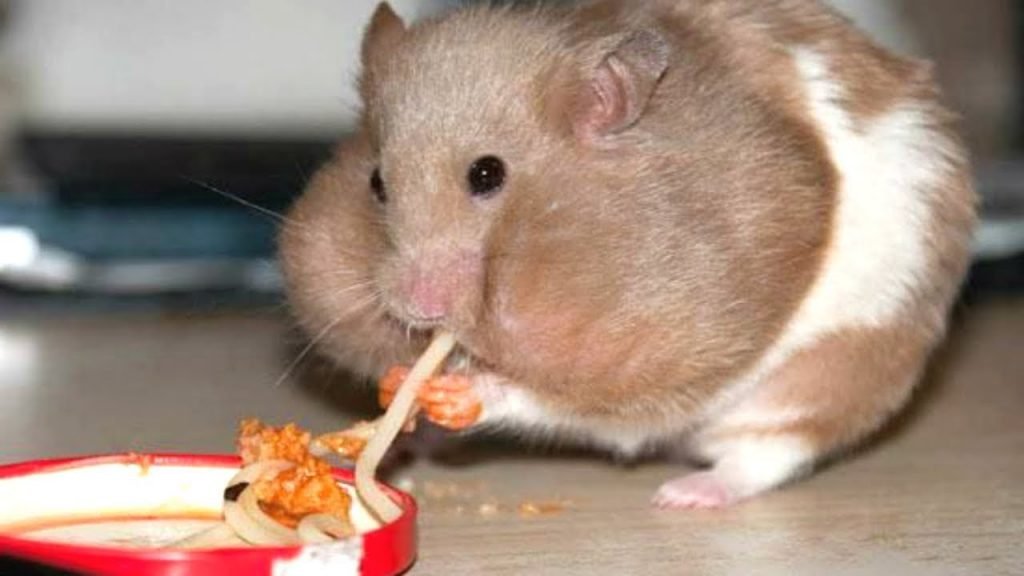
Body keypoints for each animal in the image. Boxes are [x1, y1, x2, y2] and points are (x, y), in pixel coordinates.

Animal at [280, 0, 976, 509]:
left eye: (487, 174)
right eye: (377, 182)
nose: (417, 310)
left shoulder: (658, 357)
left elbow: (557, 400)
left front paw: (455, 393)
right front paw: (400, 381)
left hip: (828, 376)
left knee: (764, 454)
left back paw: (683, 495)